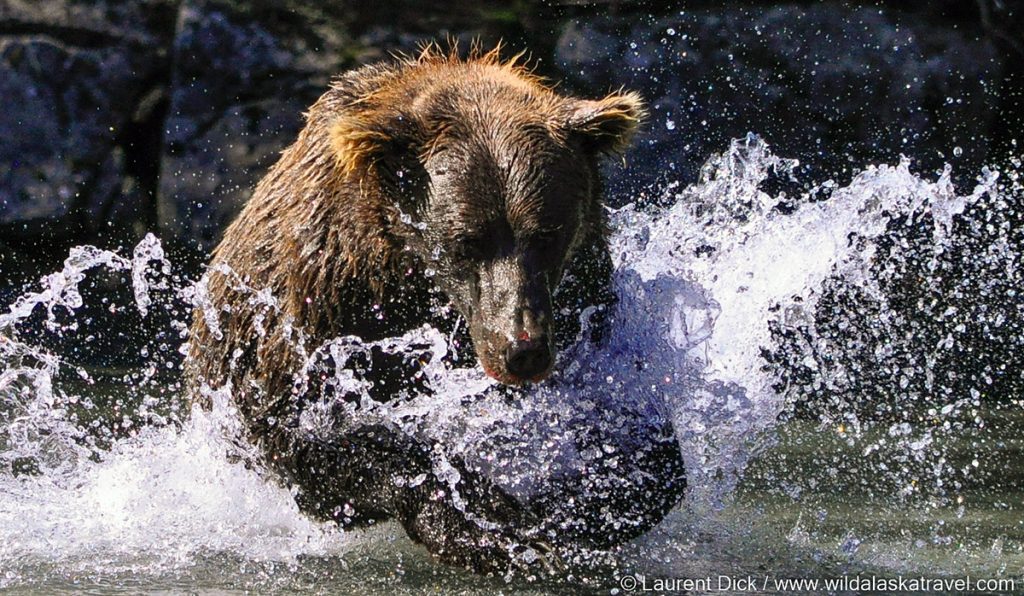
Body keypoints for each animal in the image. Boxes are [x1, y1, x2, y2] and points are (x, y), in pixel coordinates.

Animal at [186, 43, 686, 574]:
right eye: (468, 241)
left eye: (547, 234)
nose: (521, 349)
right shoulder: (316, 305)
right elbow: (298, 433)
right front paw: (486, 524)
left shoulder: (582, 300)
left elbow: (623, 413)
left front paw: (584, 500)